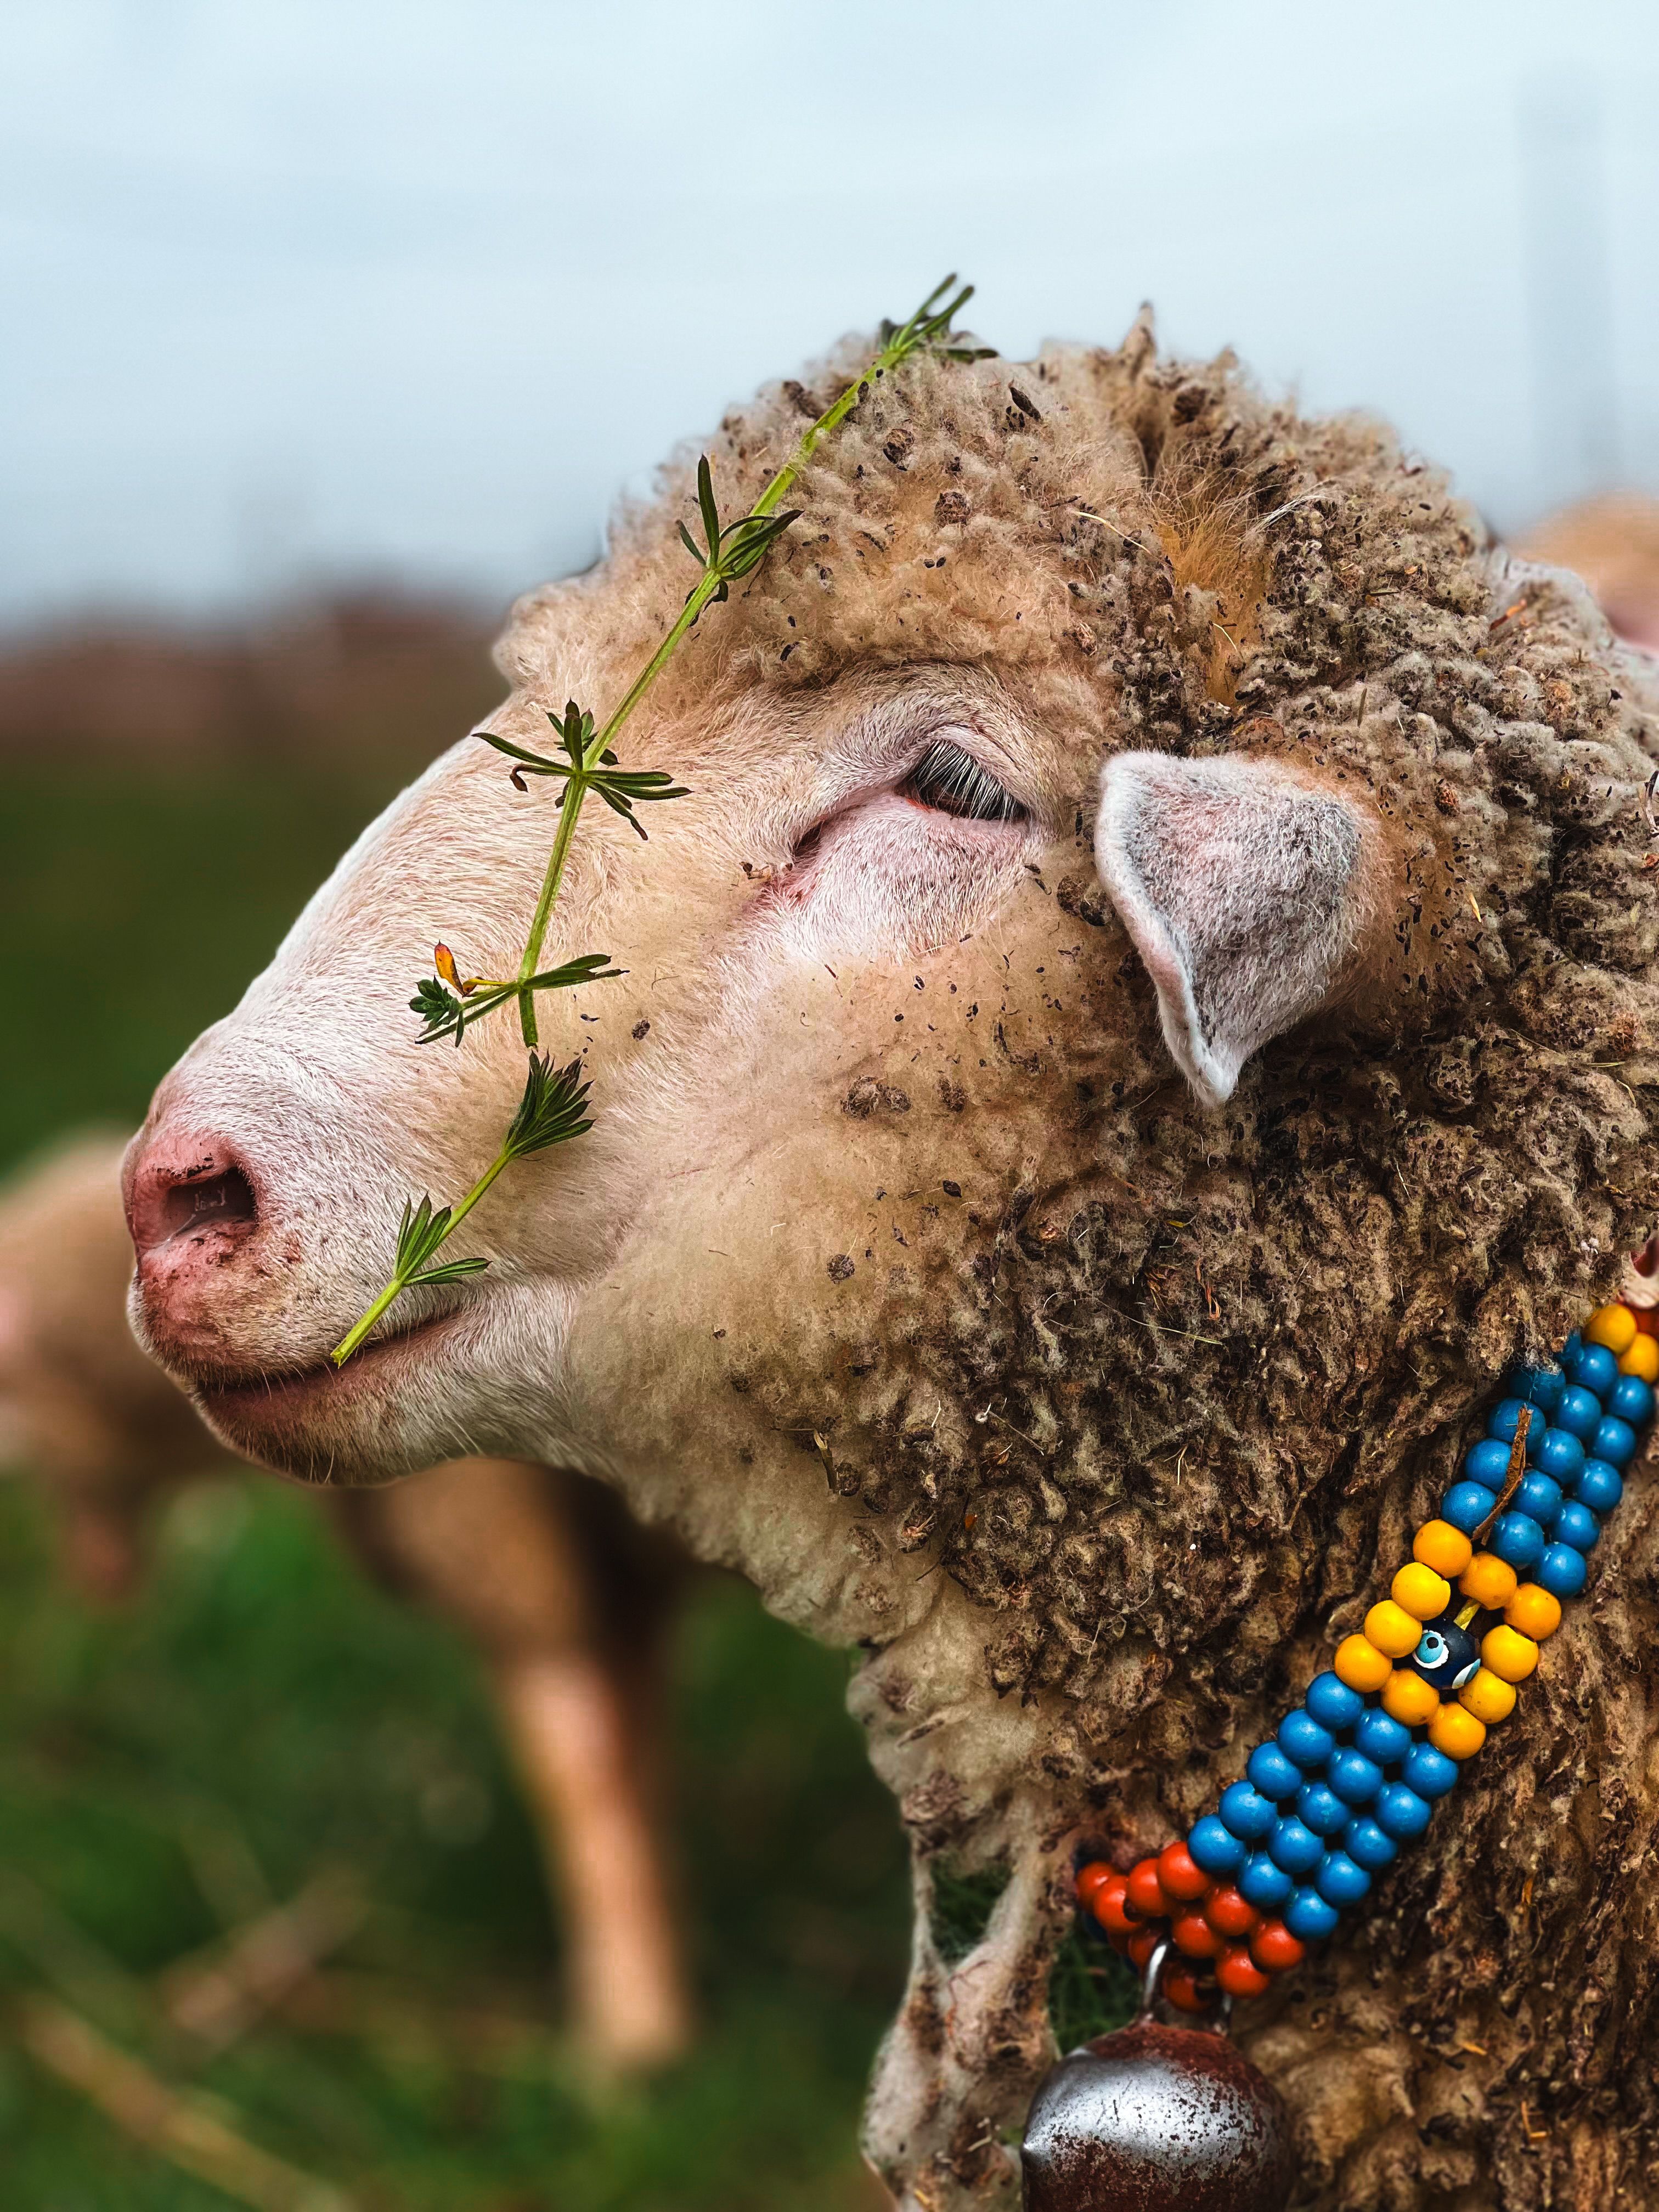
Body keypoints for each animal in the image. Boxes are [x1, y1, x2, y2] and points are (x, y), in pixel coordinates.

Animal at [0, 1134, 689, 2071]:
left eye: (26, 1414)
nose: (91, 1588)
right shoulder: (605, 1570)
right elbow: (633, 1754)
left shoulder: (501, 1543)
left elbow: (574, 1775)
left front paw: (627, 2046)